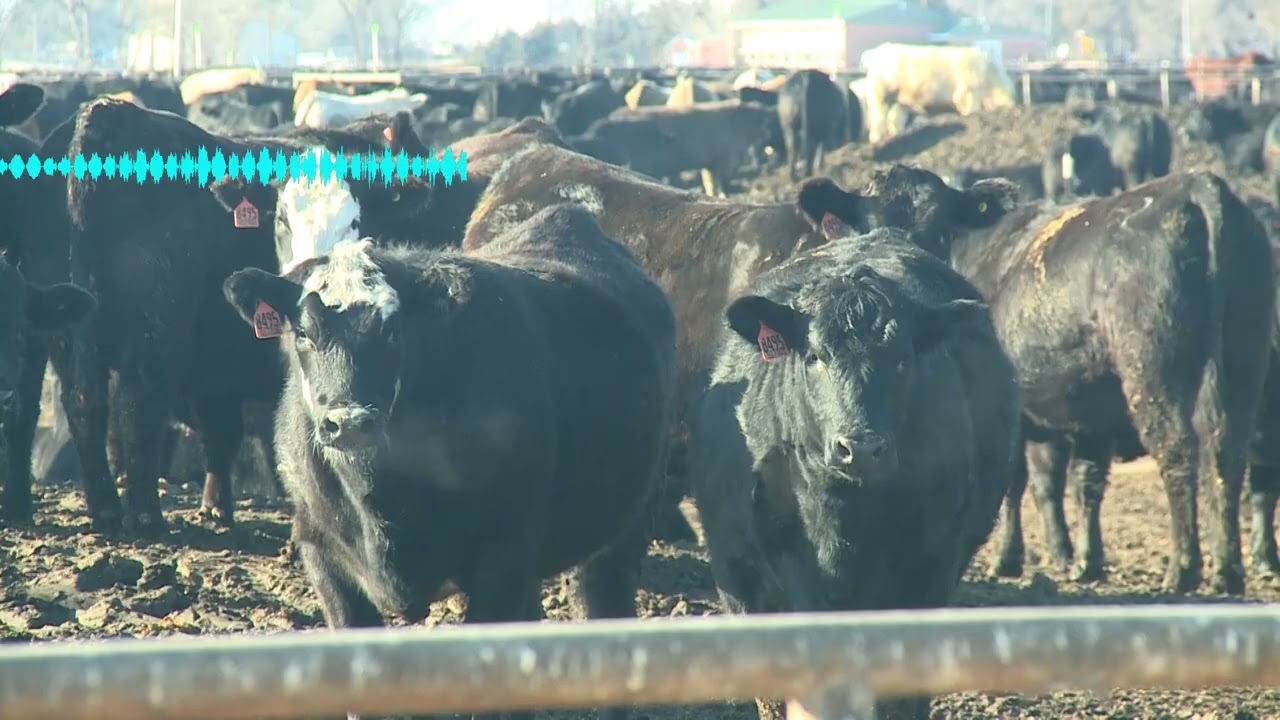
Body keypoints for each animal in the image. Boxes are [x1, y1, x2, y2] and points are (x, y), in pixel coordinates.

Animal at [221, 209, 675, 720]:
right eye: (303, 333)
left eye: (393, 330)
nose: (349, 421)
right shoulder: (318, 545)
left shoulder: (503, 553)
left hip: (625, 526)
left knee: (606, 598)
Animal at [802, 165, 1275, 595]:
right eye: (869, 221)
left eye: (941, 227)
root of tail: (1198, 185)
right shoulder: (1086, 416)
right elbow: (1081, 484)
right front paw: (1083, 559)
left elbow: (1021, 482)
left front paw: (1012, 559)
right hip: (1241, 364)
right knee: (1228, 453)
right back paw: (1228, 568)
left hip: (1154, 372)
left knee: (1179, 451)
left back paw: (1184, 568)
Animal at [859, 43, 1016, 143]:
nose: (1010, 107)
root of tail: (876, 52)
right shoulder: (968, 88)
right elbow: (969, 105)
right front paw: (970, 116)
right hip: (881, 90)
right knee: (878, 113)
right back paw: (876, 138)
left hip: (900, 97)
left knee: (896, 115)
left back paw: (896, 133)